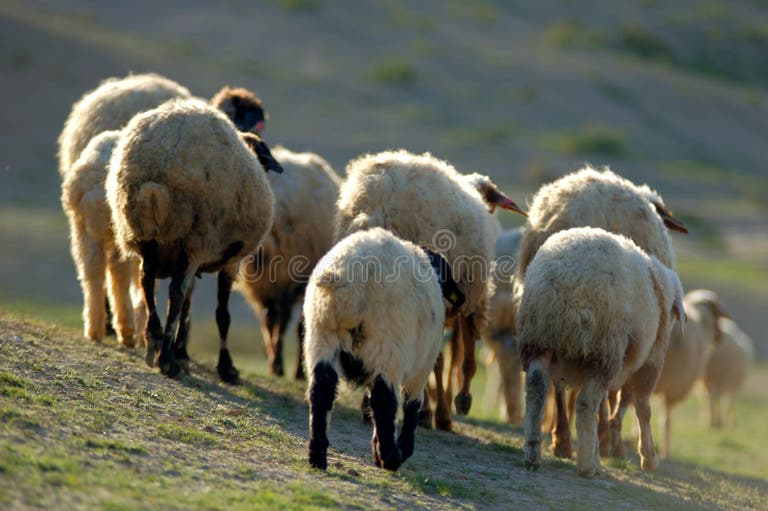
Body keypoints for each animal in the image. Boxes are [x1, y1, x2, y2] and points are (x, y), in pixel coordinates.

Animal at [61, 130, 146, 347]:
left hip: (82, 230)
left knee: (92, 273)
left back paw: (94, 329)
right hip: (116, 230)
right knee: (118, 271)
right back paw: (127, 331)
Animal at [106, 98, 282, 380]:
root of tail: (155, 173)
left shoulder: (191, 261)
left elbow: (188, 307)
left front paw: (182, 353)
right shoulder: (231, 259)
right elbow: (221, 314)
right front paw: (226, 367)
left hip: (145, 237)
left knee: (147, 284)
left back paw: (154, 340)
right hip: (192, 236)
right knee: (174, 294)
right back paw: (166, 360)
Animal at [235, 146, 341, 379]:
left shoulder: (286, 284)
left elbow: (284, 324)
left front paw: (278, 364)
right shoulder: (264, 288)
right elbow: (269, 322)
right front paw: (273, 360)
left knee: (298, 325)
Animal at [304, 227, 465, 470]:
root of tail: (346, 275)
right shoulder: (421, 367)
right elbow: (412, 405)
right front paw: (400, 449)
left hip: (322, 336)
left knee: (321, 390)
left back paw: (317, 456)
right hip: (388, 346)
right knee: (384, 399)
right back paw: (391, 457)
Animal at [515, 165, 687, 459]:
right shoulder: (643, 341)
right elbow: (626, 395)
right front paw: (613, 440)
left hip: (553, 324)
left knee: (556, 382)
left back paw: (562, 438)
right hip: (604, 329)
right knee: (596, 388)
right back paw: (598, 439)